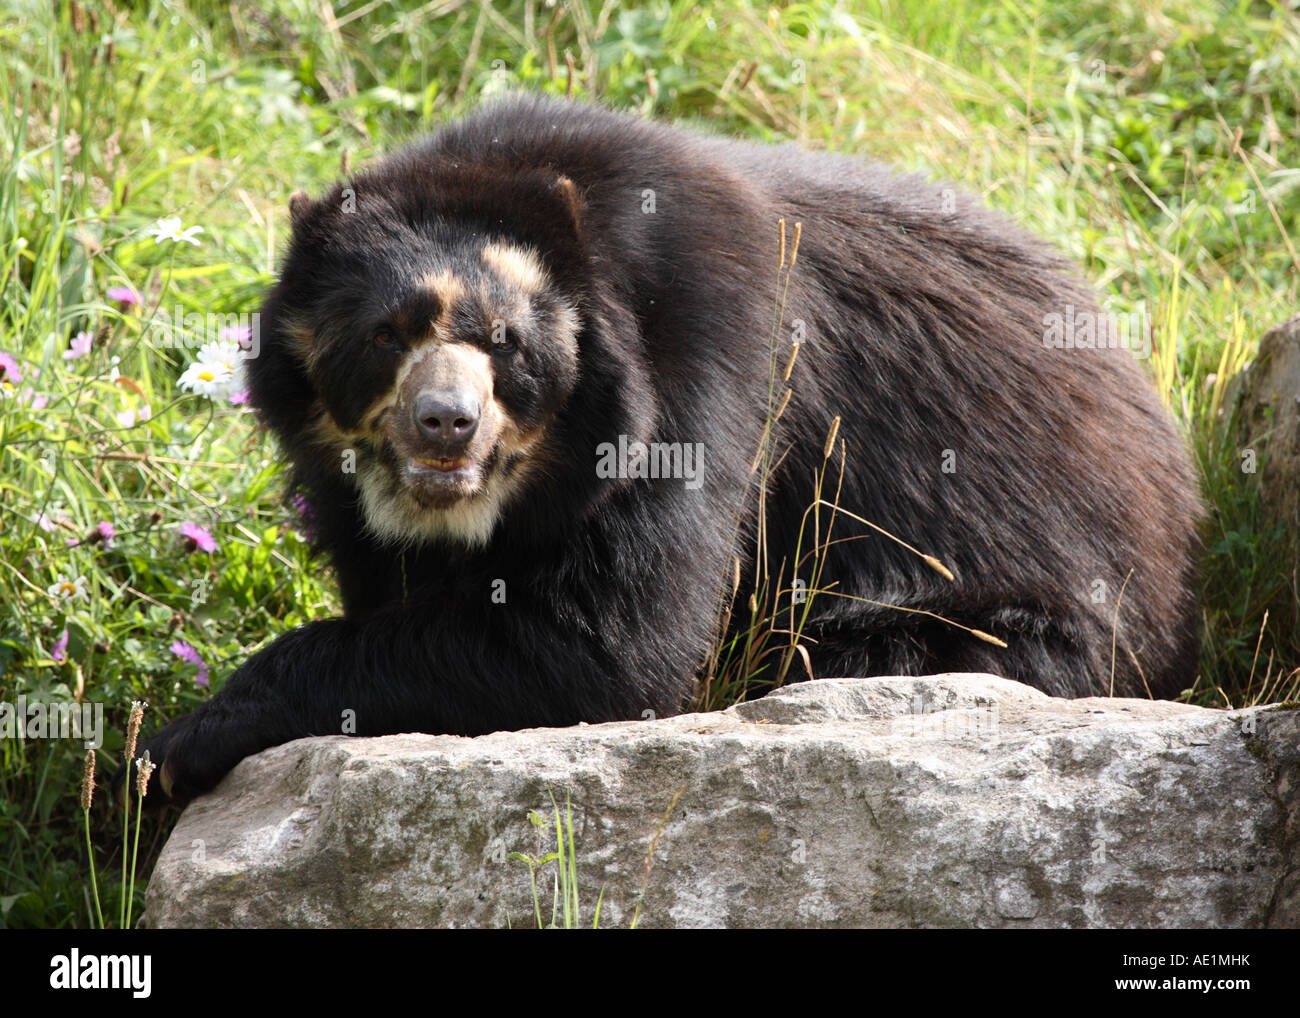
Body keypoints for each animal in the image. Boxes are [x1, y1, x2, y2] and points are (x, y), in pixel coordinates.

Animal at [134, 94, 1201, 804]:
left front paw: (179, 742)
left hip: (1036, 605)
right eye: (388, 335)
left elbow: (608, 637)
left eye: (503, 343)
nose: (446, 422)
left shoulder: (706, 356)